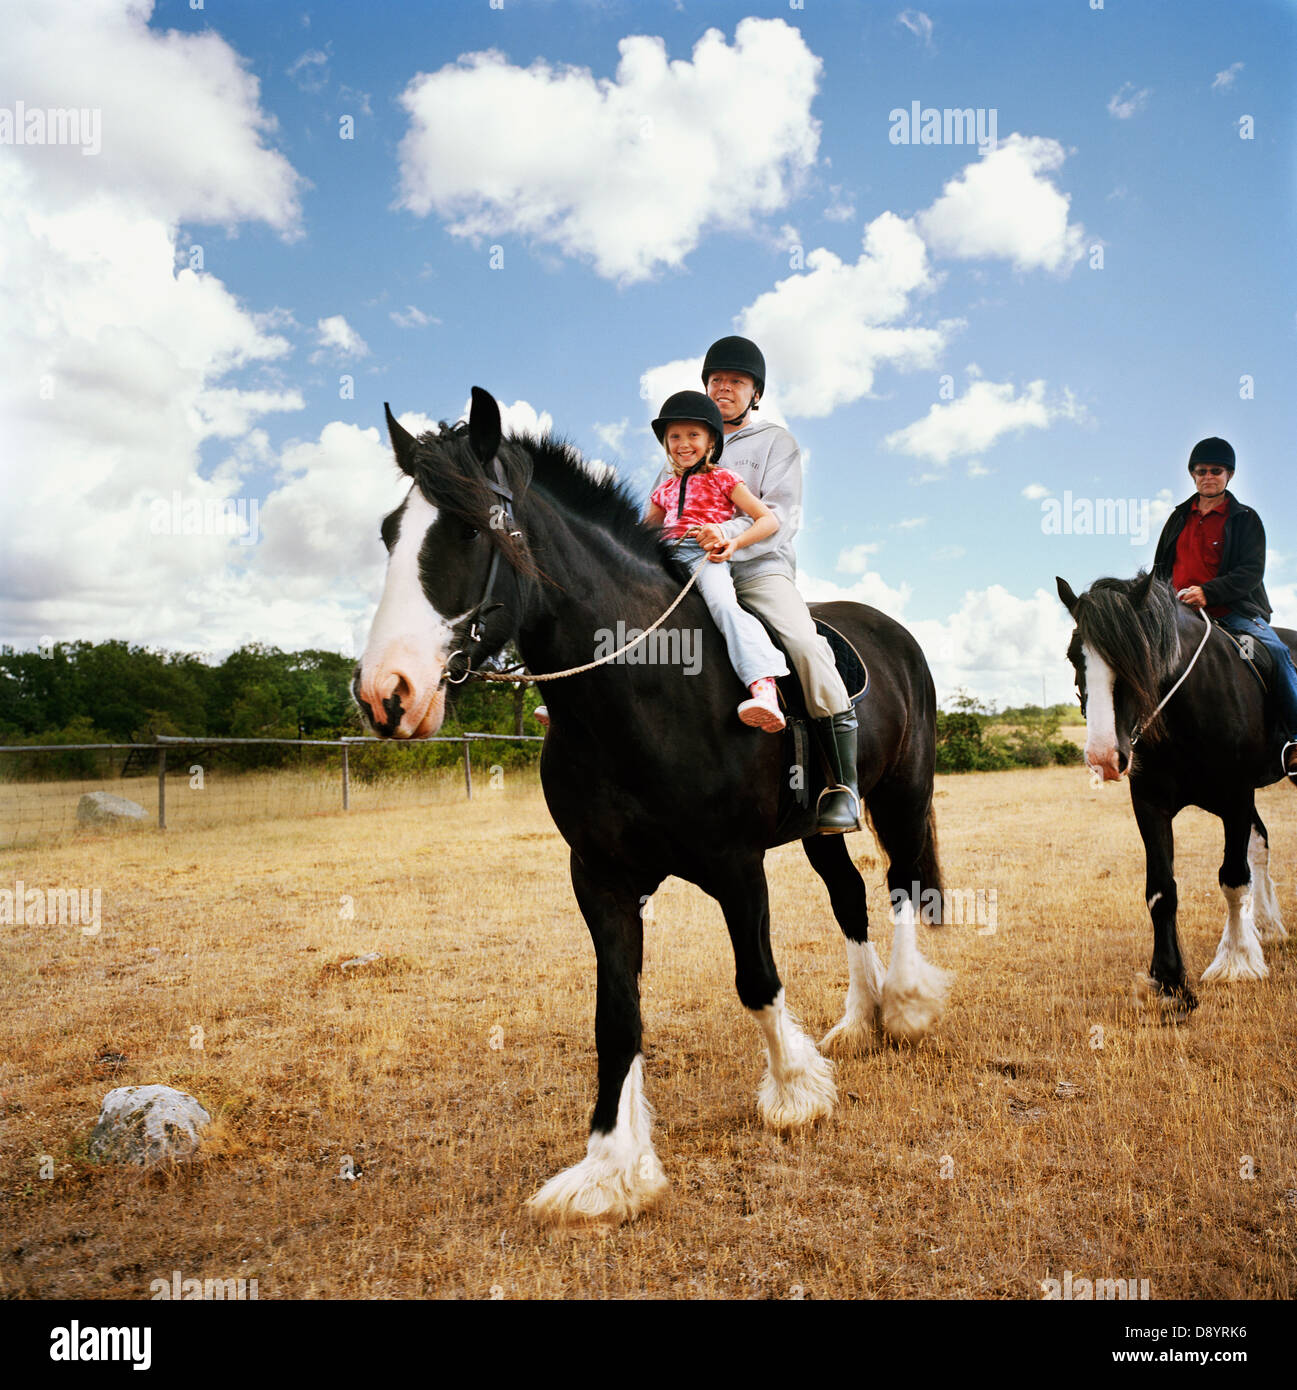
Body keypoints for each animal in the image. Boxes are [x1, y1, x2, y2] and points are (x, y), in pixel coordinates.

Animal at [353, 386, 951, 1228]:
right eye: (387, 534)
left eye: (469, 528)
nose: (386, 692)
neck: (644, 688)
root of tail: (889, 629)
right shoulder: (599, 878)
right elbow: (616, 1015)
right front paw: (610, 1167)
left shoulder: (735, 867)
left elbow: (756, 979)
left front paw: (794, 1094)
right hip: (819, 827)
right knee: (849, 897)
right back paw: (859, 1020)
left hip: (901, 794)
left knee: (902, 885)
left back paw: (903, 1007)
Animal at [1057, 571, 1292, 1011]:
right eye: (1073, 656)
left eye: (1138, 655)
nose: (1103, 756)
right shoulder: (1150, 804)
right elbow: (1161, 890)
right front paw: (1168, 980)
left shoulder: (1237, 797)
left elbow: (1233, 878)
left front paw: (1236, 961)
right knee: (1261, 845)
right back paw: (1267, 926)